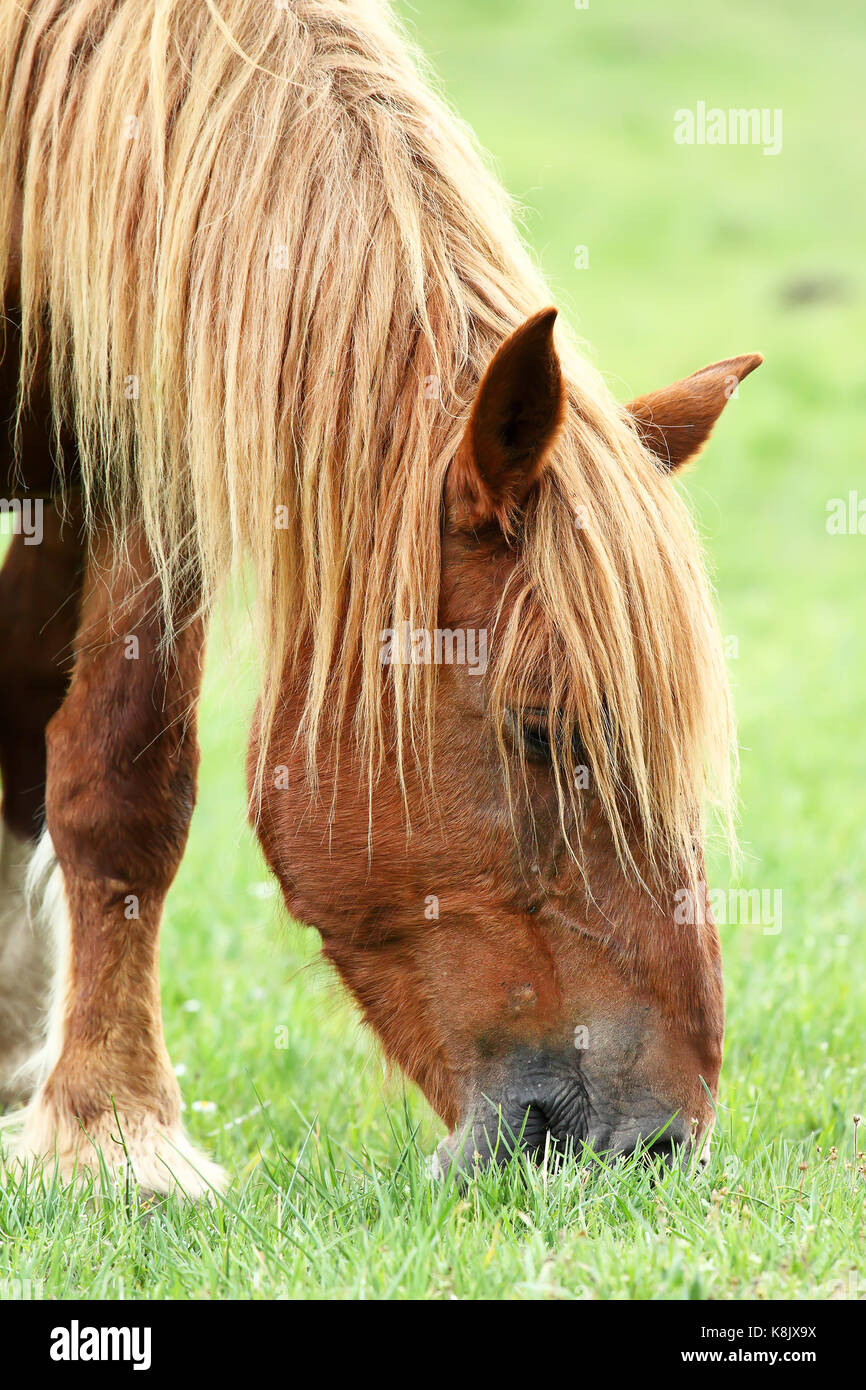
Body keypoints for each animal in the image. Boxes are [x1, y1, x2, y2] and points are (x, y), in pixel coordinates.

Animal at [0, 0, 761, 1196]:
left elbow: (120, 774)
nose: (652, 1143)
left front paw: (95, 1116)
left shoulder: (136, 454)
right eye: (541, 729)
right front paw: (115, 1133)